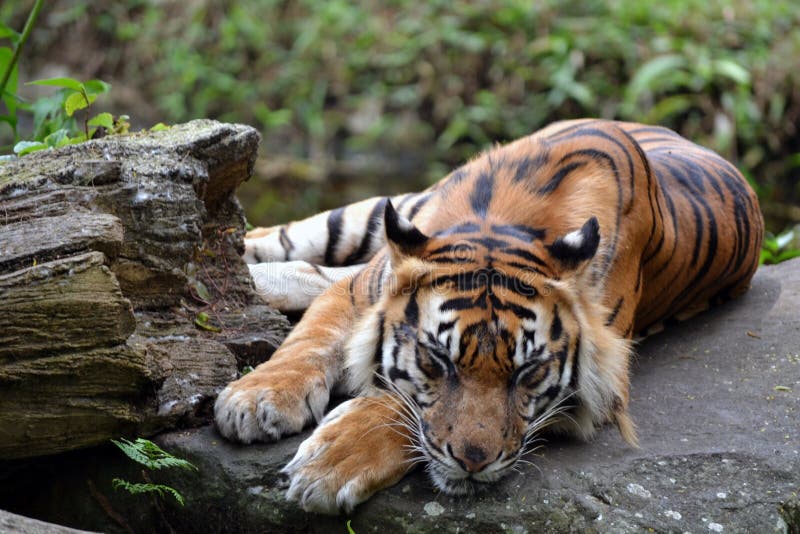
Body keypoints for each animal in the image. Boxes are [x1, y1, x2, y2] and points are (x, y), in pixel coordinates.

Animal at [214, 119, 763, 514]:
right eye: (436, 360)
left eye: (529, 373)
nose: (474, 462)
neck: (506, 224)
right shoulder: (361, 289)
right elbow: (311, 340)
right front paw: (257, 398)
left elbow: (398, 405)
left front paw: (331, 464)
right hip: (366, 215)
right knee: (279, 239)